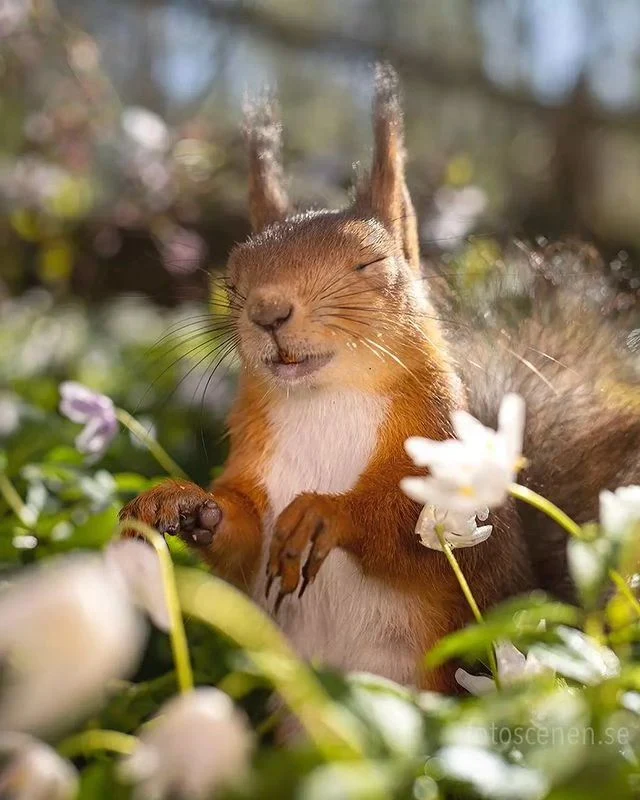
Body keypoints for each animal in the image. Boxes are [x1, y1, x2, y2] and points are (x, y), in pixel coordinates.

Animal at [120, 64, 640, 693]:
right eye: (234, 278)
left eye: (371, 263)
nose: (268, 312)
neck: (325, 398)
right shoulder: (255, 468)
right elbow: (242, 539)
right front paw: (178, 500)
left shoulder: (444, 463)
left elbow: (406, 533)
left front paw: (326, 513)